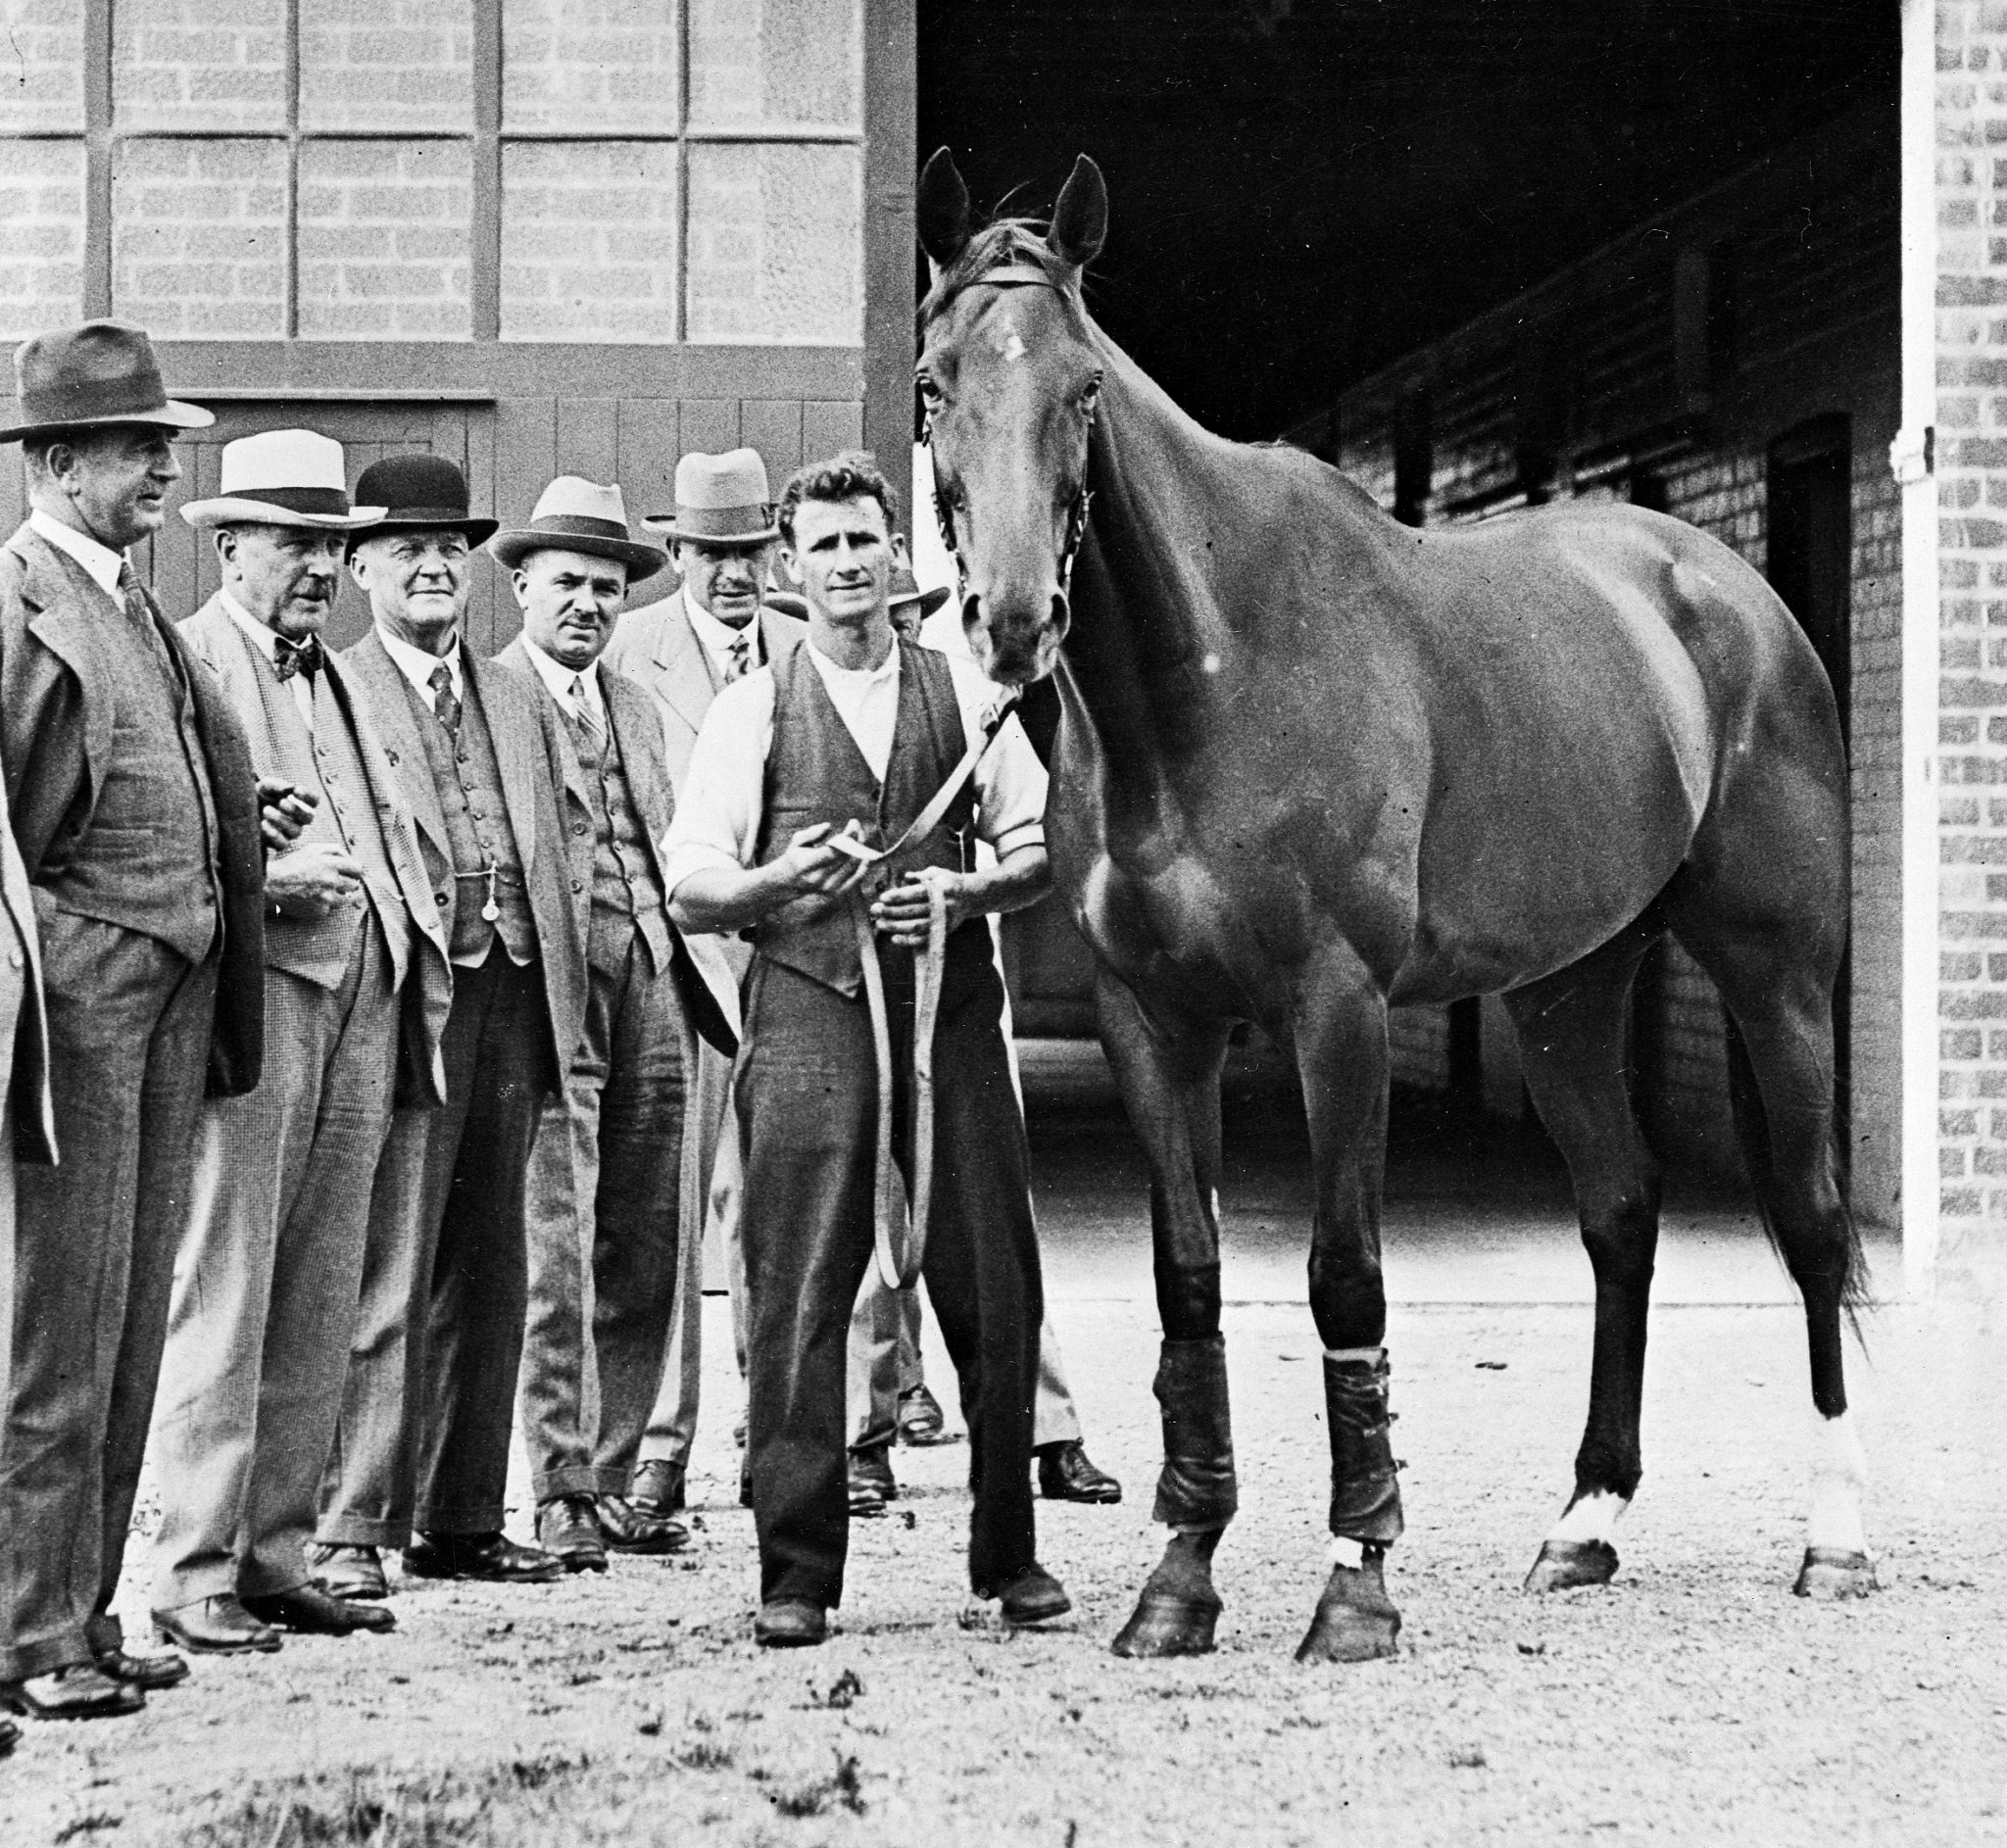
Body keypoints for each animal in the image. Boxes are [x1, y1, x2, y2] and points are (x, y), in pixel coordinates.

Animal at [913, 148, 1875, 1663]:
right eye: (934, 379)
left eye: (1084, 386)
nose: (1012, 622)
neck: (1209, 674)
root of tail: (1730, 599)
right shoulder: (1152, 1018)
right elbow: (1189, 1279)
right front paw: (1178, 1578)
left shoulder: (1337, 1008)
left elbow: (1342, 1278)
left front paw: (1355, 1583)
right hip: (1564, 993)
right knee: (1621, 1213)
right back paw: (1584, 1519)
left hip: (1775, 973)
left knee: (1815, 1222)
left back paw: (1834, 1536)